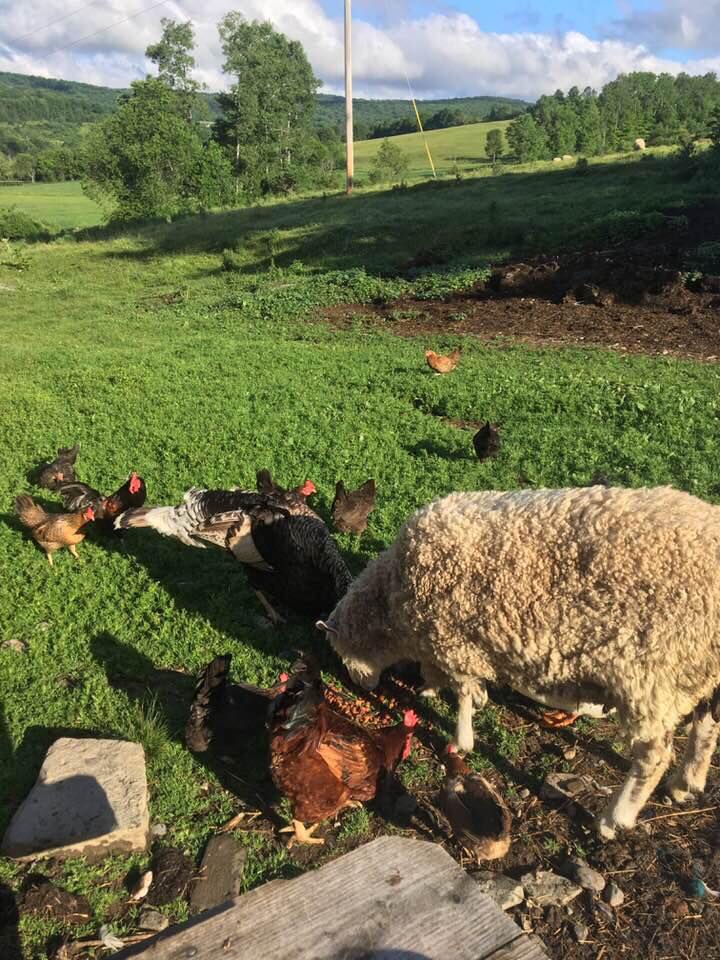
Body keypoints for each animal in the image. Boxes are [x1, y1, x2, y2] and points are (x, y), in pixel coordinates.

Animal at [317, 485, 720, 839]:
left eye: (340, 653)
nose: (362, 685)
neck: (393, 599)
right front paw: (438, 690)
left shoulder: (455, 640)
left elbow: (463, 693)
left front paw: (461, 738)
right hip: (697, 667)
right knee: (706, 727)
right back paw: (686, 783)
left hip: (651, 674)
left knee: (653, 756)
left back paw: (614, 818)